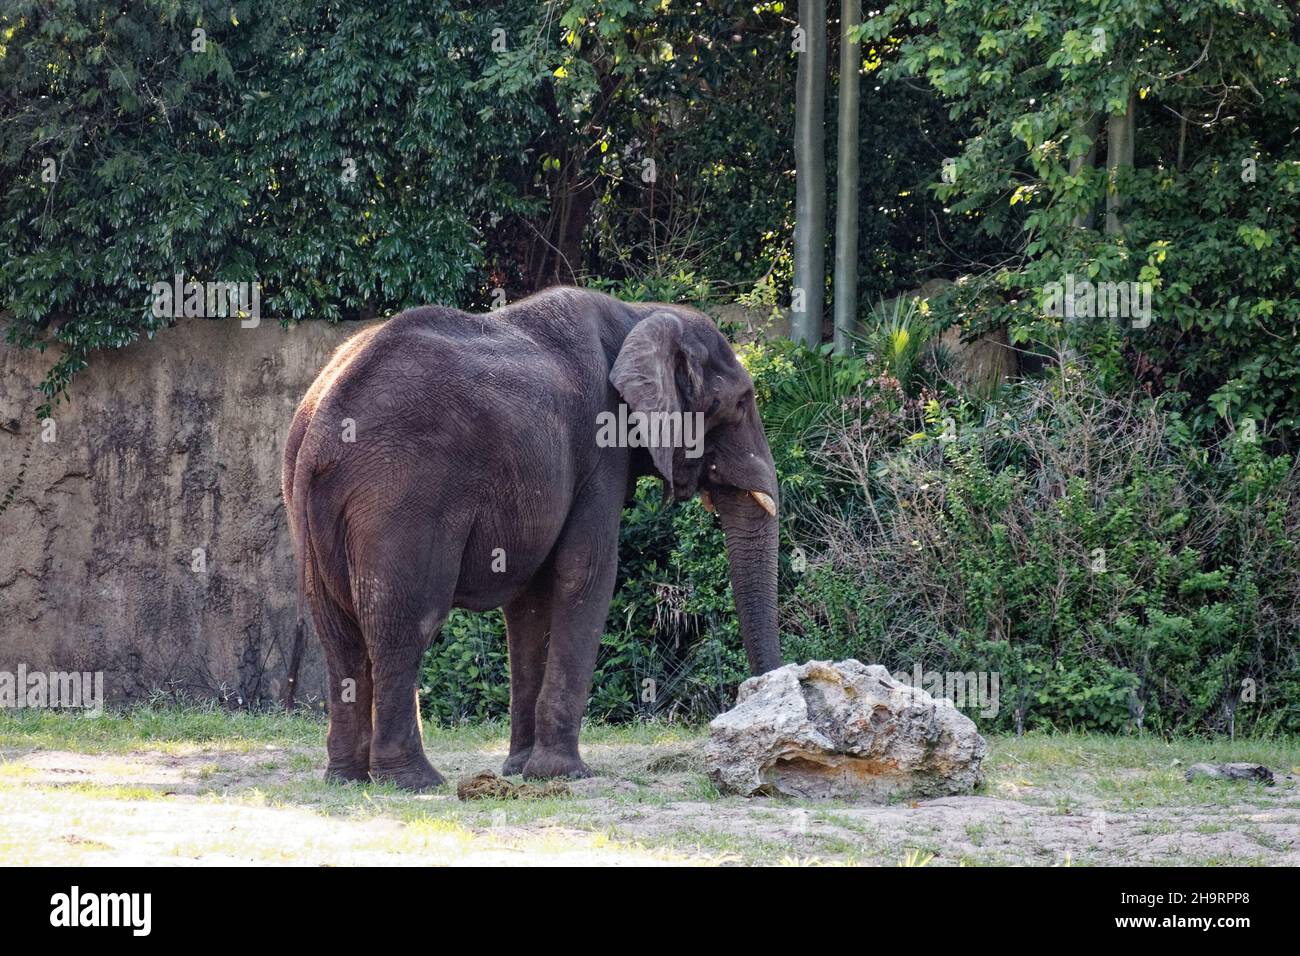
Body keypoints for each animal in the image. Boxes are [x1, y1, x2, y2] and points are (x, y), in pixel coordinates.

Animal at [282, 286, 781, 788]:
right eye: (740, 404)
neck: (639, 315)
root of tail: (319, 429)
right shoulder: (600, 447)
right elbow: (588, 573)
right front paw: (566, 774)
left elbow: (532, 600)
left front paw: (522, 771)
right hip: (401, 497)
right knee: (405, 625)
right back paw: (415, 780)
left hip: (312, 509)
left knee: (339, 636)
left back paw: (347, 778)